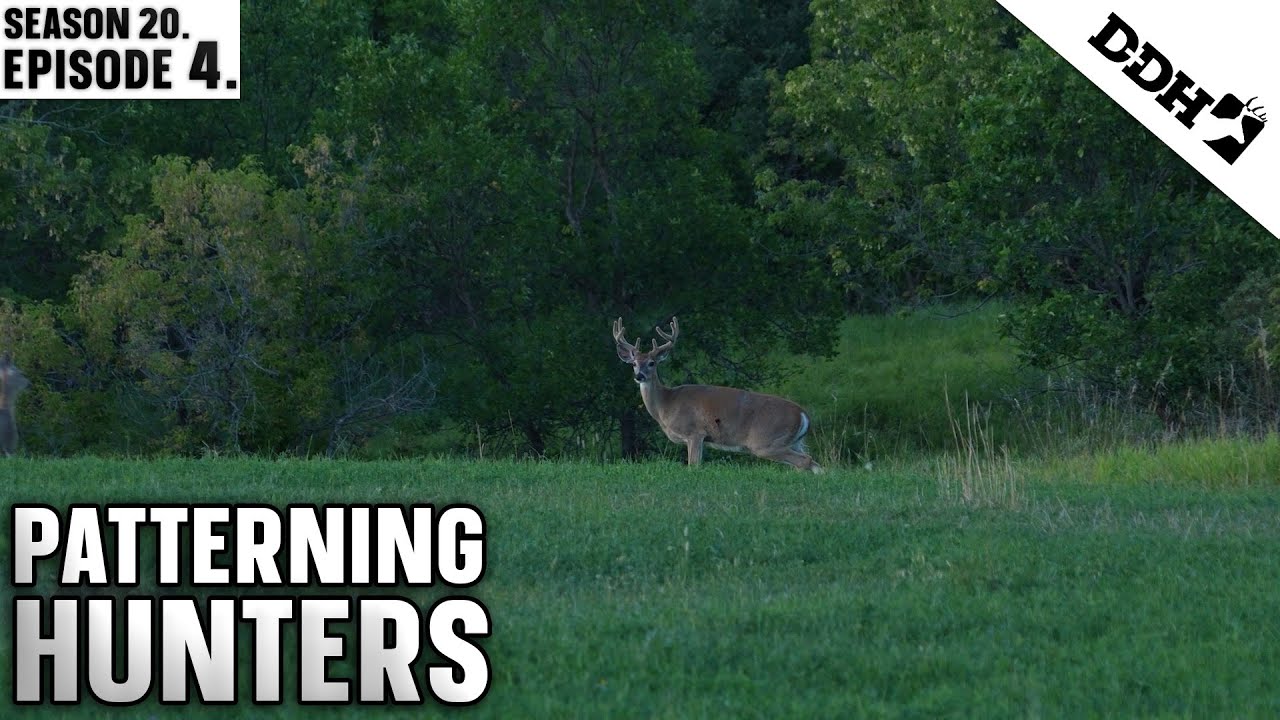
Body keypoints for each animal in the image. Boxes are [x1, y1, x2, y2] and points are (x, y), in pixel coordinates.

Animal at [613, 317, 823, 473]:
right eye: (634, 363)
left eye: (652, 363)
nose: (639, 376)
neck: (666, 405)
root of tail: (803, 414)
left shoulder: (695, 433)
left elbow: (693, 466)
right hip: (794, 442)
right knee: (814, 463)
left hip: (766, 442)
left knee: (805, 461)